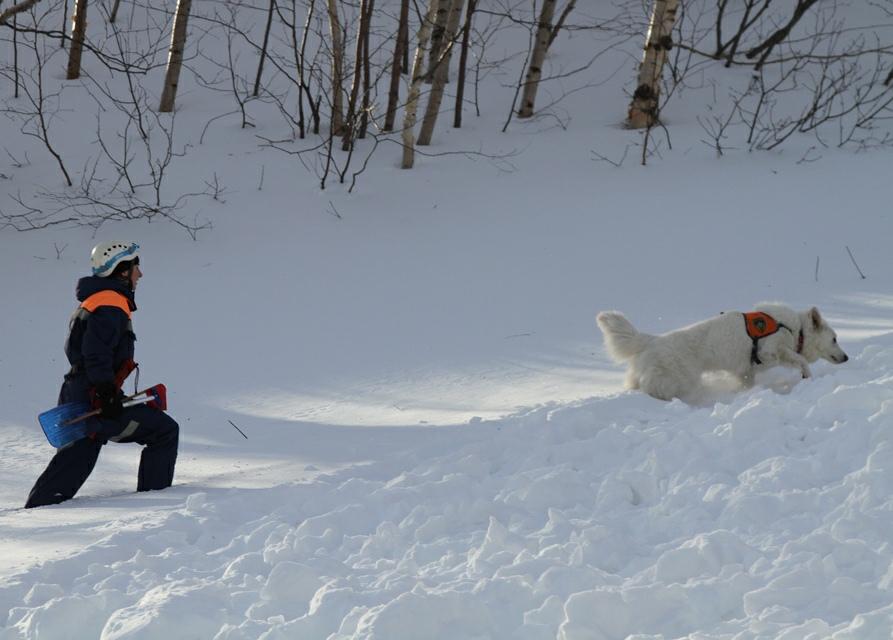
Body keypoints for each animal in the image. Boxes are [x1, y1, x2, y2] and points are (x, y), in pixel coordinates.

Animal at [596, 304, 848, 400]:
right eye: (835, 339)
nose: (847, 357)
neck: (796, 328)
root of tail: (651, 340)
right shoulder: (769, 350)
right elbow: (797, 358)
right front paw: (807, 376)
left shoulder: (745, 371)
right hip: (677, 379)